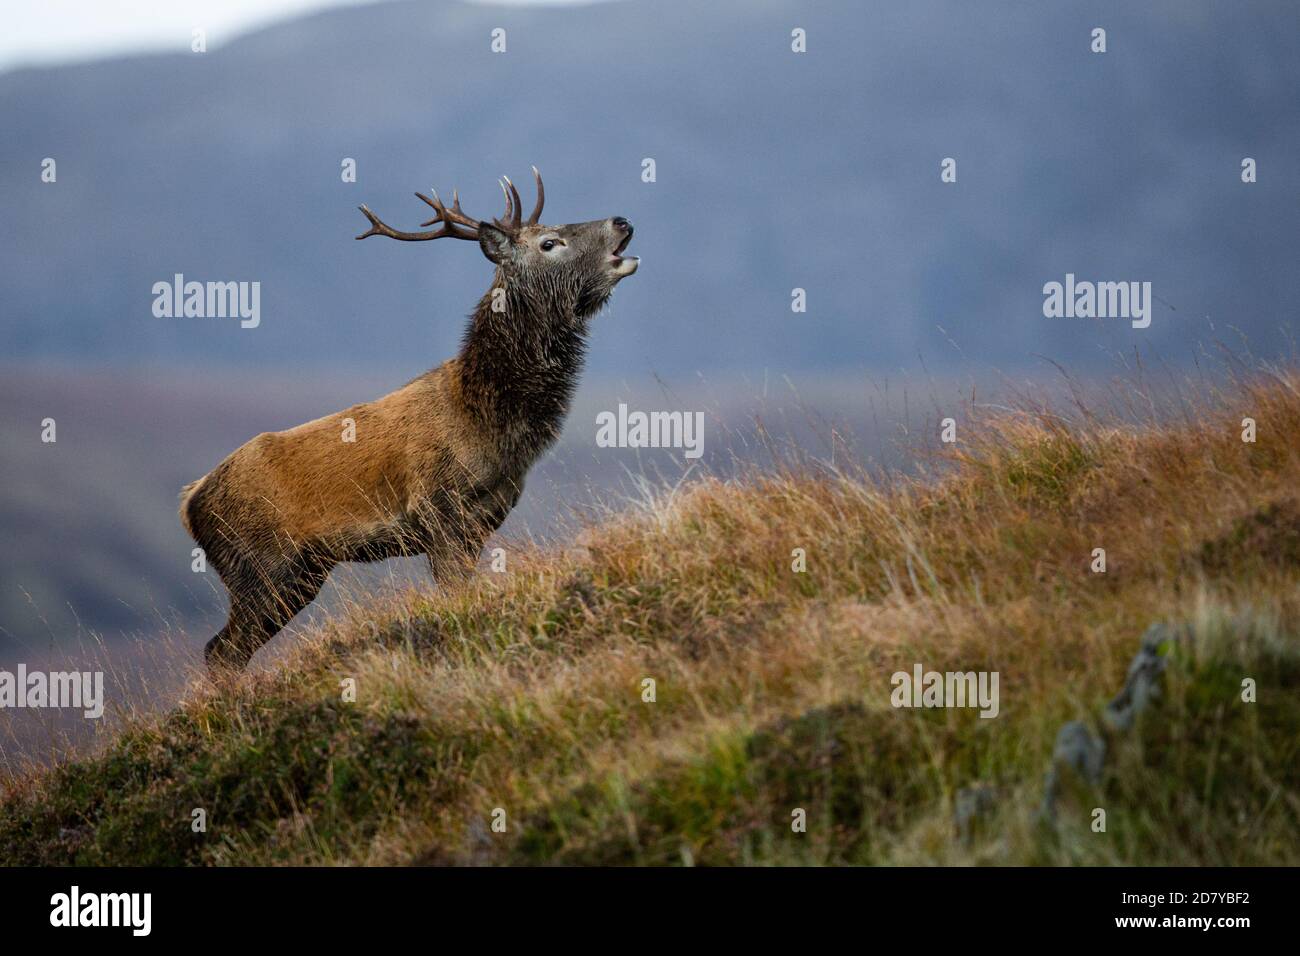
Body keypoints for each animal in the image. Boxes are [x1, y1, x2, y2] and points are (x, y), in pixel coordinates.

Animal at [180, 169, 637, 674]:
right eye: (550, 242)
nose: (622, 221)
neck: (491, 427)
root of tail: (191, 503)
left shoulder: (483, 519)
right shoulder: (437, 510)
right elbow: (454, 595)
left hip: (301, 573)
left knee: (227, 650)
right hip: (262, 566)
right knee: (222, 650)